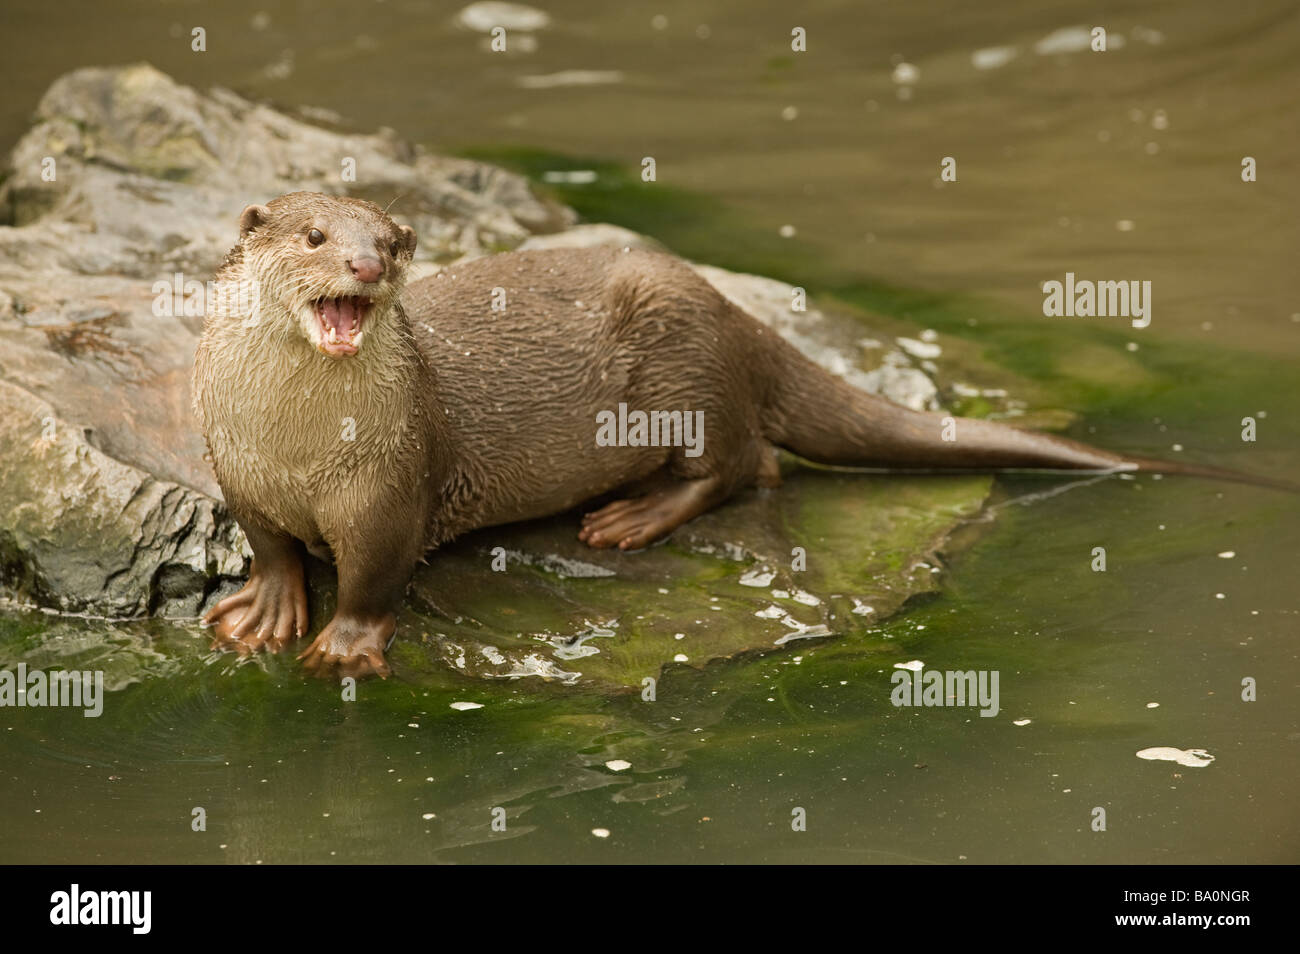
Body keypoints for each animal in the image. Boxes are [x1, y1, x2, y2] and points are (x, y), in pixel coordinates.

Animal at [193, 191, 1283, 678]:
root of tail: (729, 311)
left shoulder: (392, 488)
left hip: (688, 378)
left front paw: (343, 647)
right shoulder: (238, 472)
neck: (298, 448)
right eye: (316, 236)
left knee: (747, 464)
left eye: (393, 239)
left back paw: (632, 518)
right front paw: (262, 611)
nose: (369, 266)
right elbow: (273, 548)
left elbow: (375, 576)